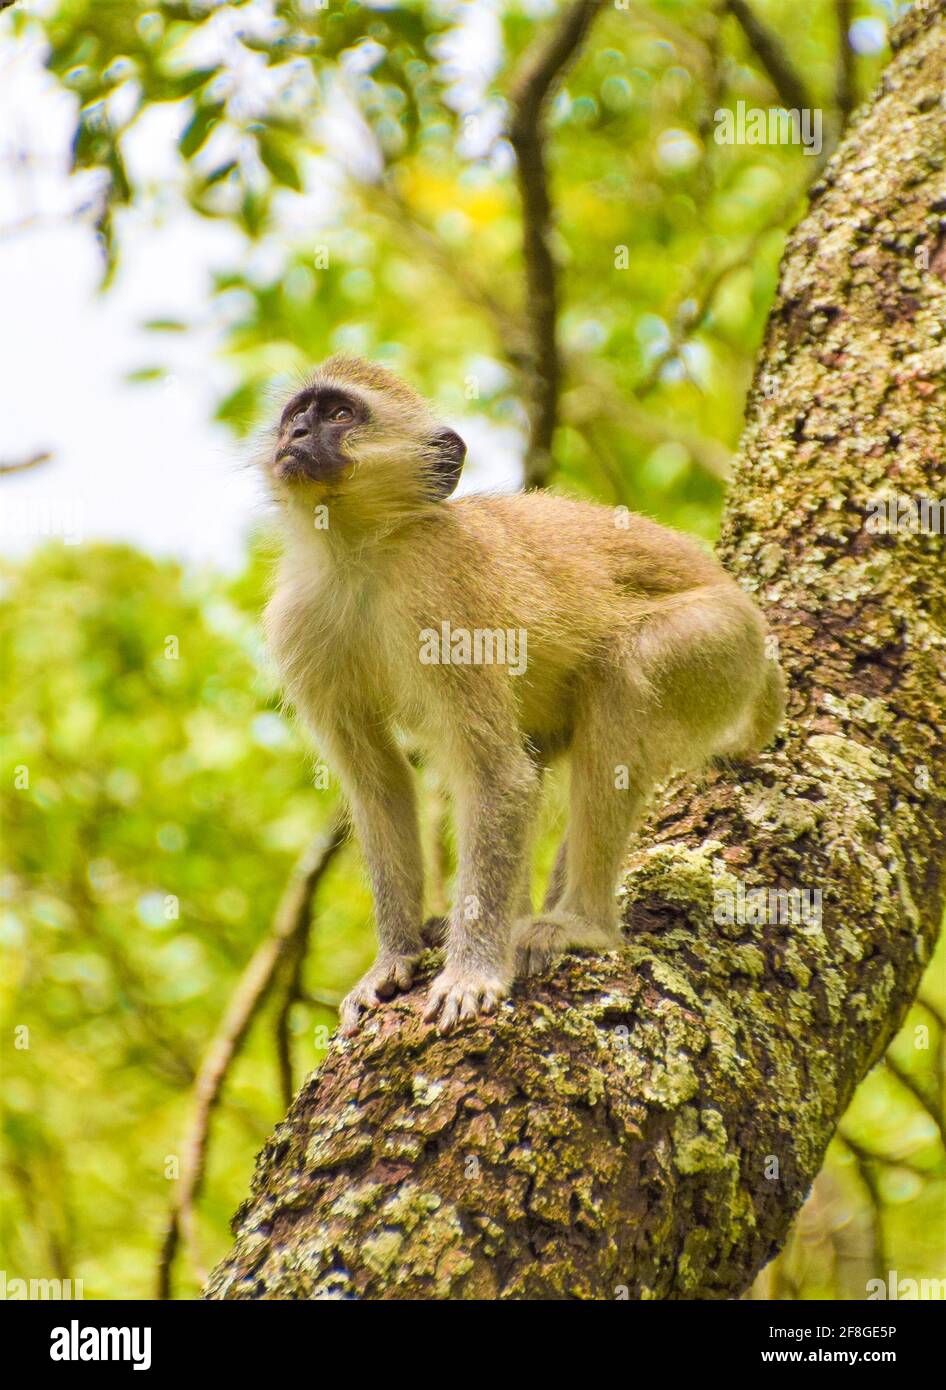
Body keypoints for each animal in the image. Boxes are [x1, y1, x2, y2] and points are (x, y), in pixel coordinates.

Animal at [262, 355, 785, 1035]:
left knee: (624, 678)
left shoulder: (441, 587)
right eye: (297, 414)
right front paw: (394, 958)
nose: (296, 436)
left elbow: (497, 778)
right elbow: (381, 787)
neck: (362, 555)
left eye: (341, 414)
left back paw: (582, 922)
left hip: (719, 642)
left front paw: (472, 970)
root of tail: (748, 615)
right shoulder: (298, 622)